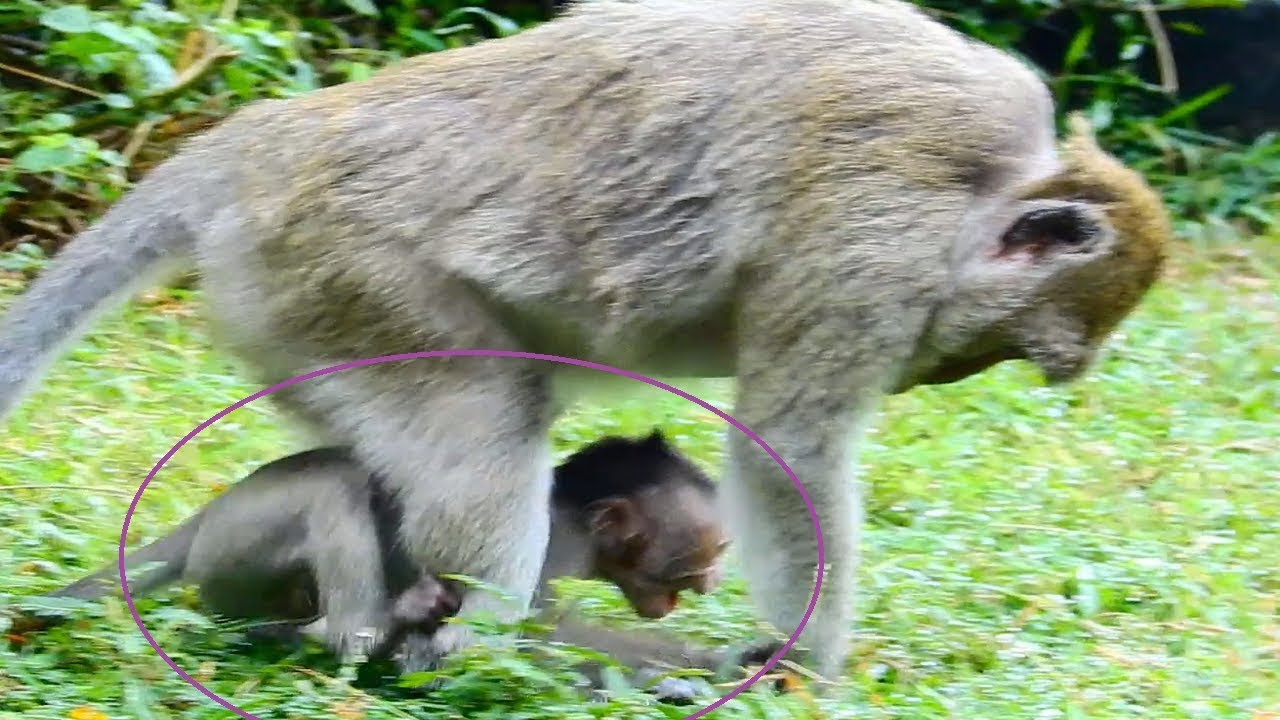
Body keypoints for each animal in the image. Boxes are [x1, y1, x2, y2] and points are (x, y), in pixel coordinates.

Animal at [0, 0, 1172, 680]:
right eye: (1003, 352)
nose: (933, 373)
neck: (986, 183)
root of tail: (260, 141)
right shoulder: (872, 242)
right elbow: (786, 446)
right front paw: (816, 670)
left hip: (294, 308)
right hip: (338, 272)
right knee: (486, 417)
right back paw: (479, 654)